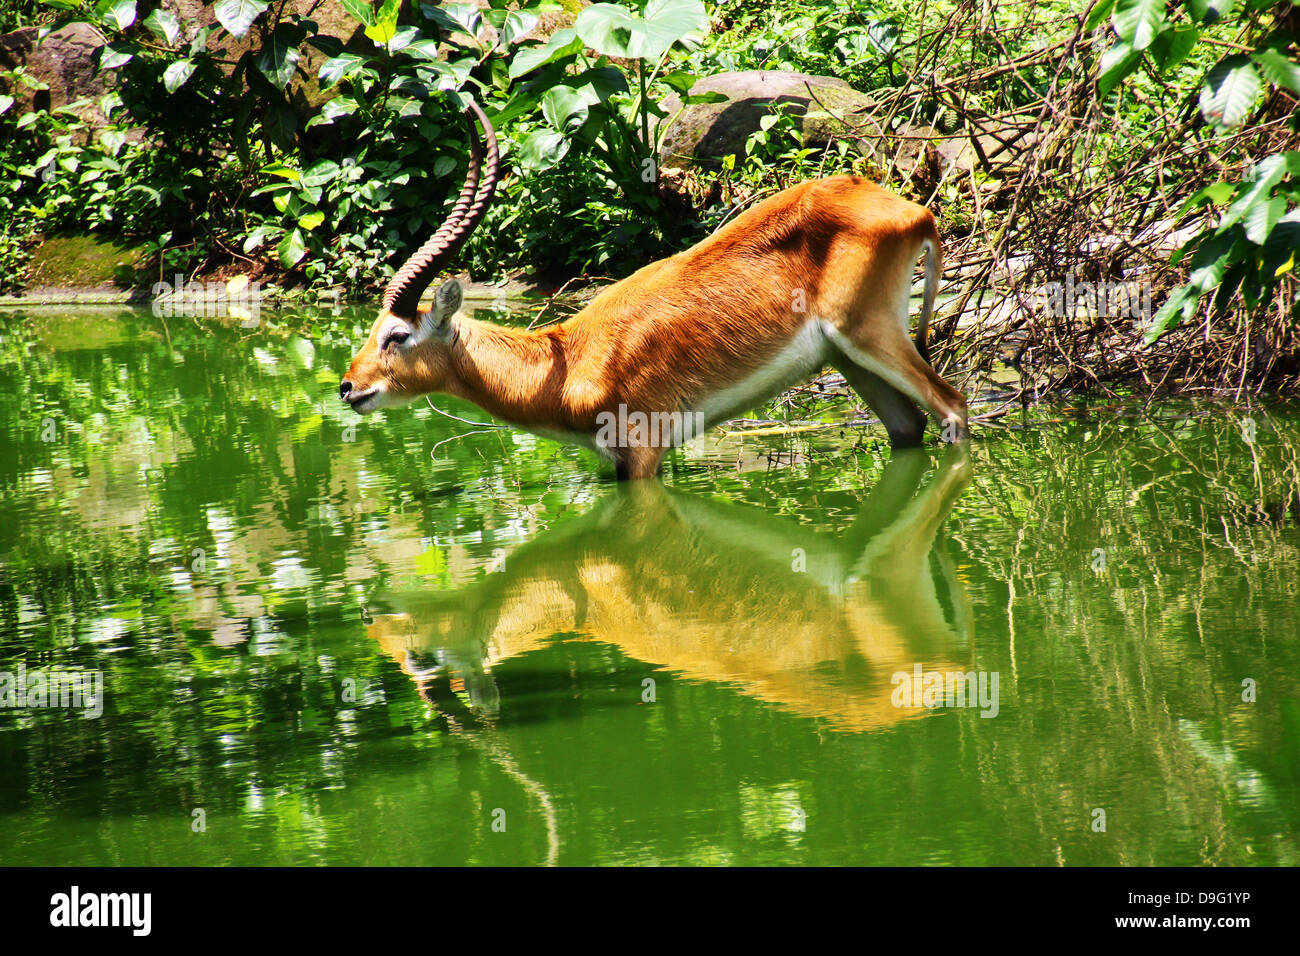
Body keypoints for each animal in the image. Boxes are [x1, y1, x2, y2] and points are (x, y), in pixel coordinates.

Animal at [340, 101, 969, 479]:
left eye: (396, 335)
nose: (349, 388)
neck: (572, 360)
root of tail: (915, 212)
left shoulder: (641, 455)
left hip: (872, 336)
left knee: (954, 407)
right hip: (849, 360)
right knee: (910, 427)